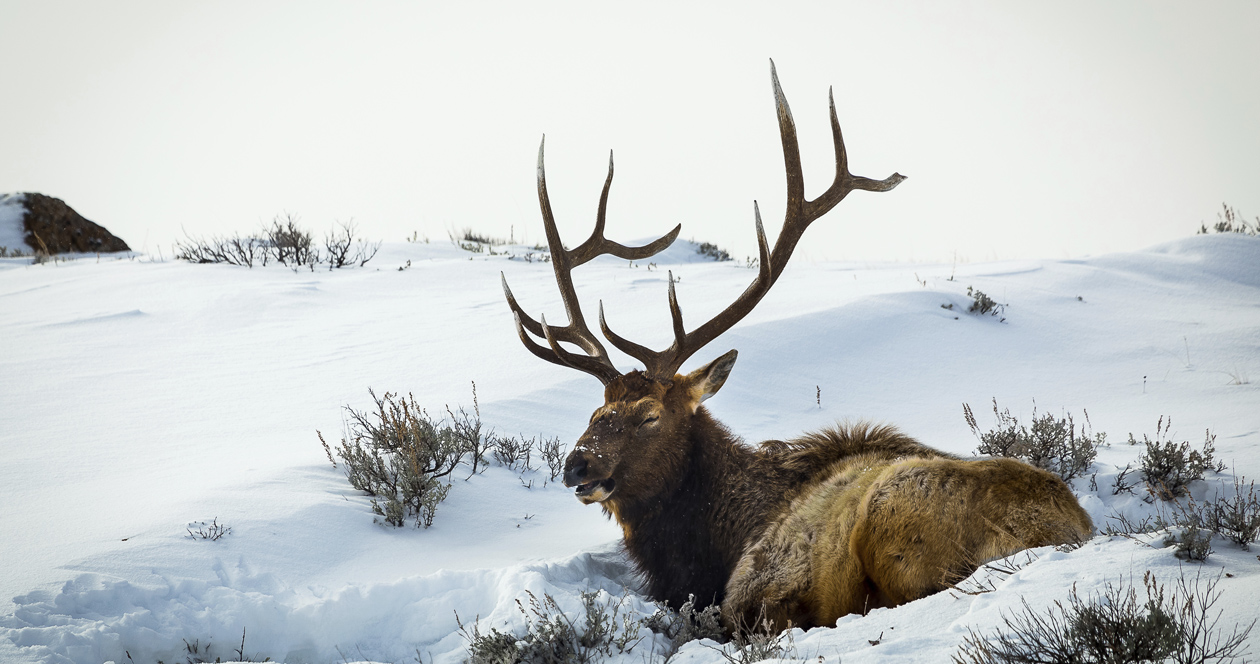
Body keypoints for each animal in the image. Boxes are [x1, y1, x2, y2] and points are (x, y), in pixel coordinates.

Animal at [500, 61, 1093, 633]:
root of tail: (1073, 530)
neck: (717, 544)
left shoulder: (761, 586)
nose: (576, 465)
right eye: (597, 410)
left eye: (649, 415)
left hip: (892, 513)